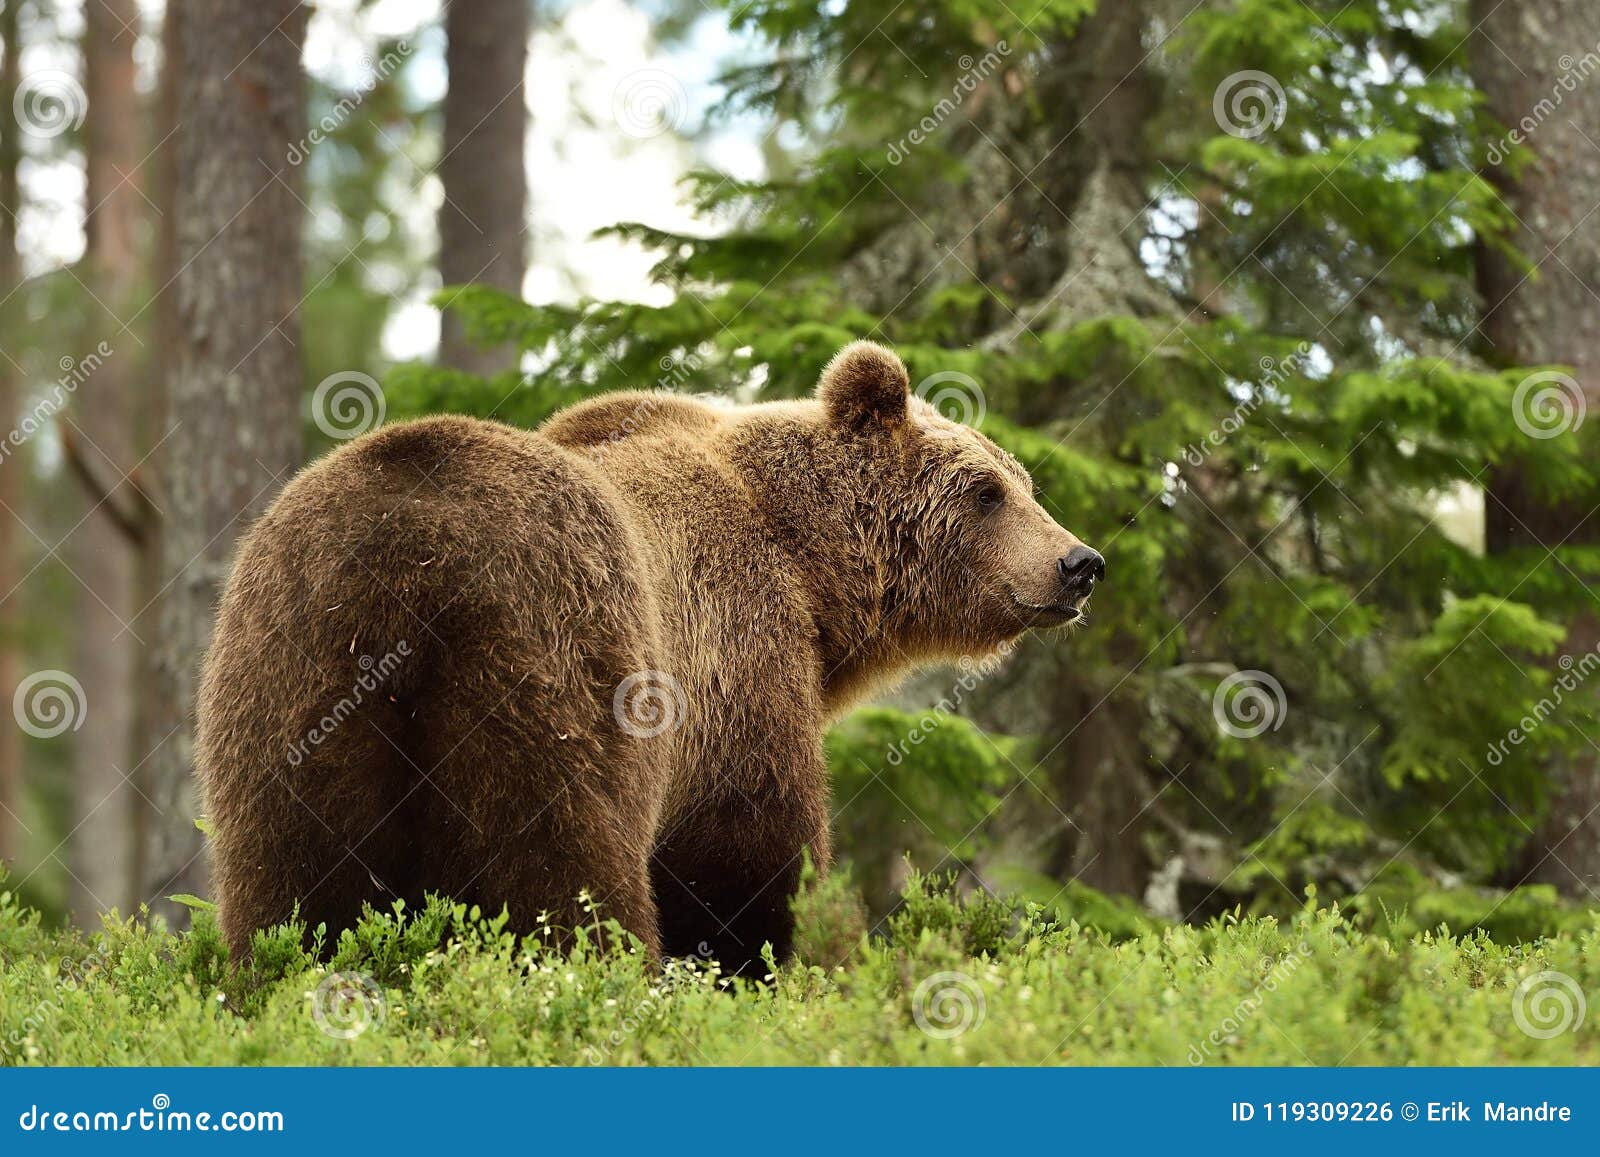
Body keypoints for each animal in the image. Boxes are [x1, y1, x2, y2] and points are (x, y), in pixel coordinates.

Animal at [196, 341, 1104, 974]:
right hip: (556, 656)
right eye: (986, 491)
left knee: (290, 882)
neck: (811, 572)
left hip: (288, 669)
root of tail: (406, 559)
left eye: (1024, 482)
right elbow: (747, 857)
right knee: (566, 869)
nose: (1080, 561)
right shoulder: (733, 657)